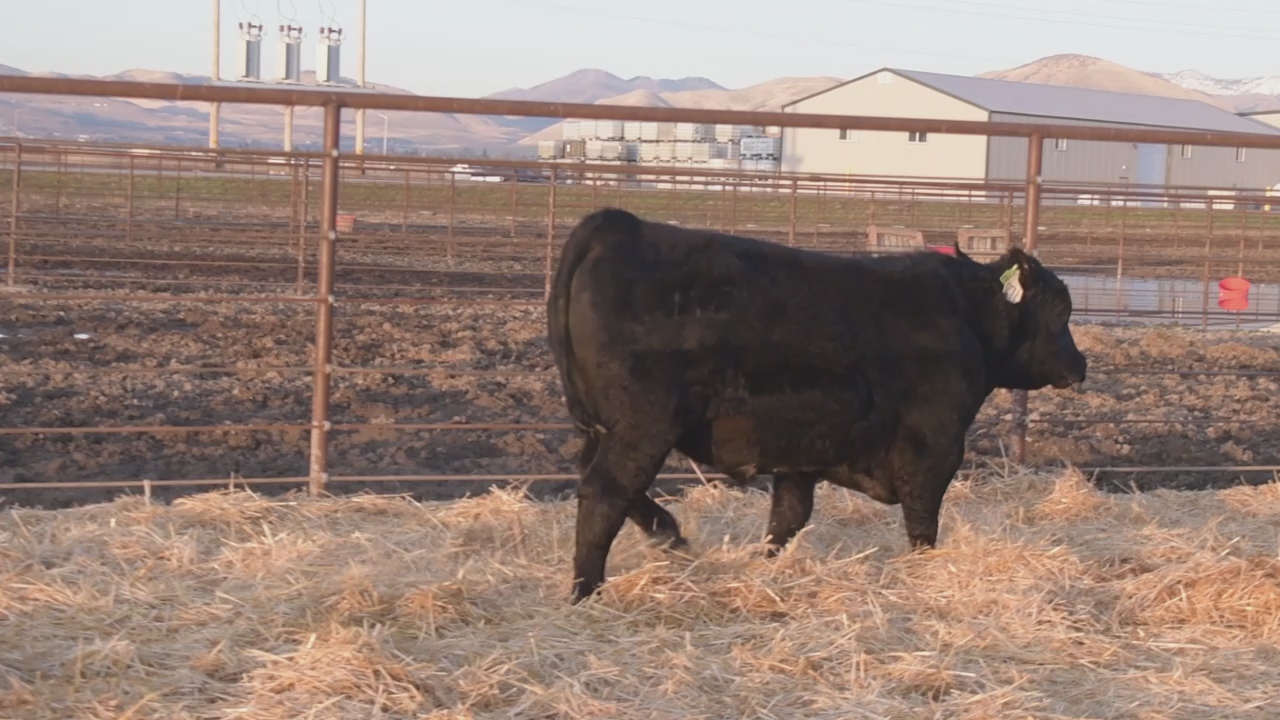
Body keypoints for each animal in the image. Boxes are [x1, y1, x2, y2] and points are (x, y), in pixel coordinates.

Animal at [546, 207, 1087, 603]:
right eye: (1061, 312)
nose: (1079, 364)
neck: (967, 316)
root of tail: (619, 224)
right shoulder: (932, 448)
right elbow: (922, 524)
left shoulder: (802, 455)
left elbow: (787, 519)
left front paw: (763, 568)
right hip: (645, 424)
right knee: (605, 491)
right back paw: (586, 592)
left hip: (605, 426)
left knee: (601, 480)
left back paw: (670, 538)